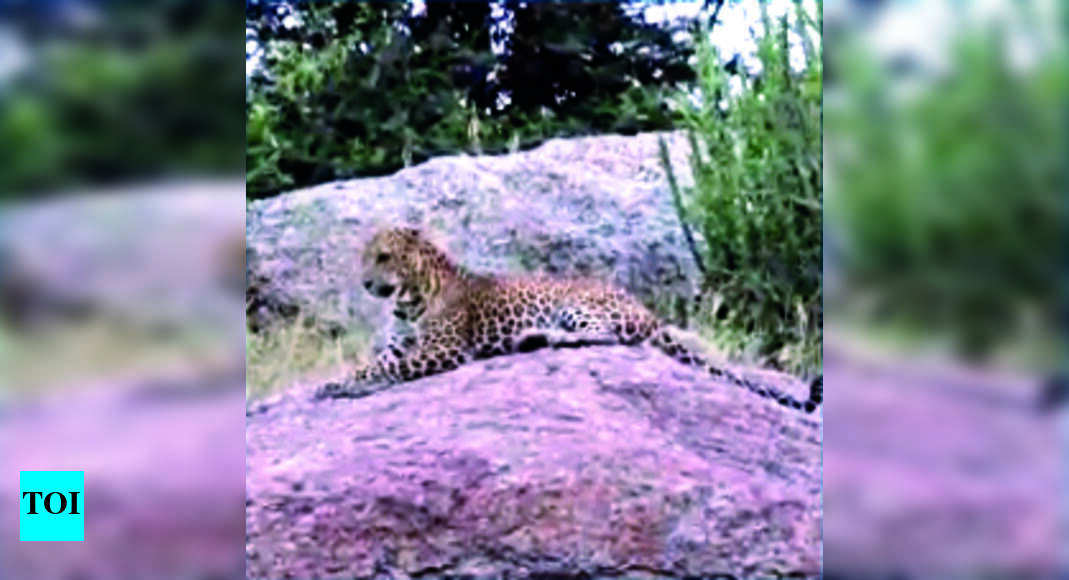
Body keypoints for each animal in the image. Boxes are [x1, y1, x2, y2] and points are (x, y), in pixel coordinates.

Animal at [315, 227, 822, 413]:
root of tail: (649, 312)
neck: (408, 297)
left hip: (578, 305)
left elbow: (386, 370)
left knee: (608, 337)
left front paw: (343, 387)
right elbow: (374, 363)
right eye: (365, 257)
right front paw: (337, 382)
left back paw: (544, 337)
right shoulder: (399, 344)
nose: (366, 283)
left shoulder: (442, 350)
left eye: (384, 257)